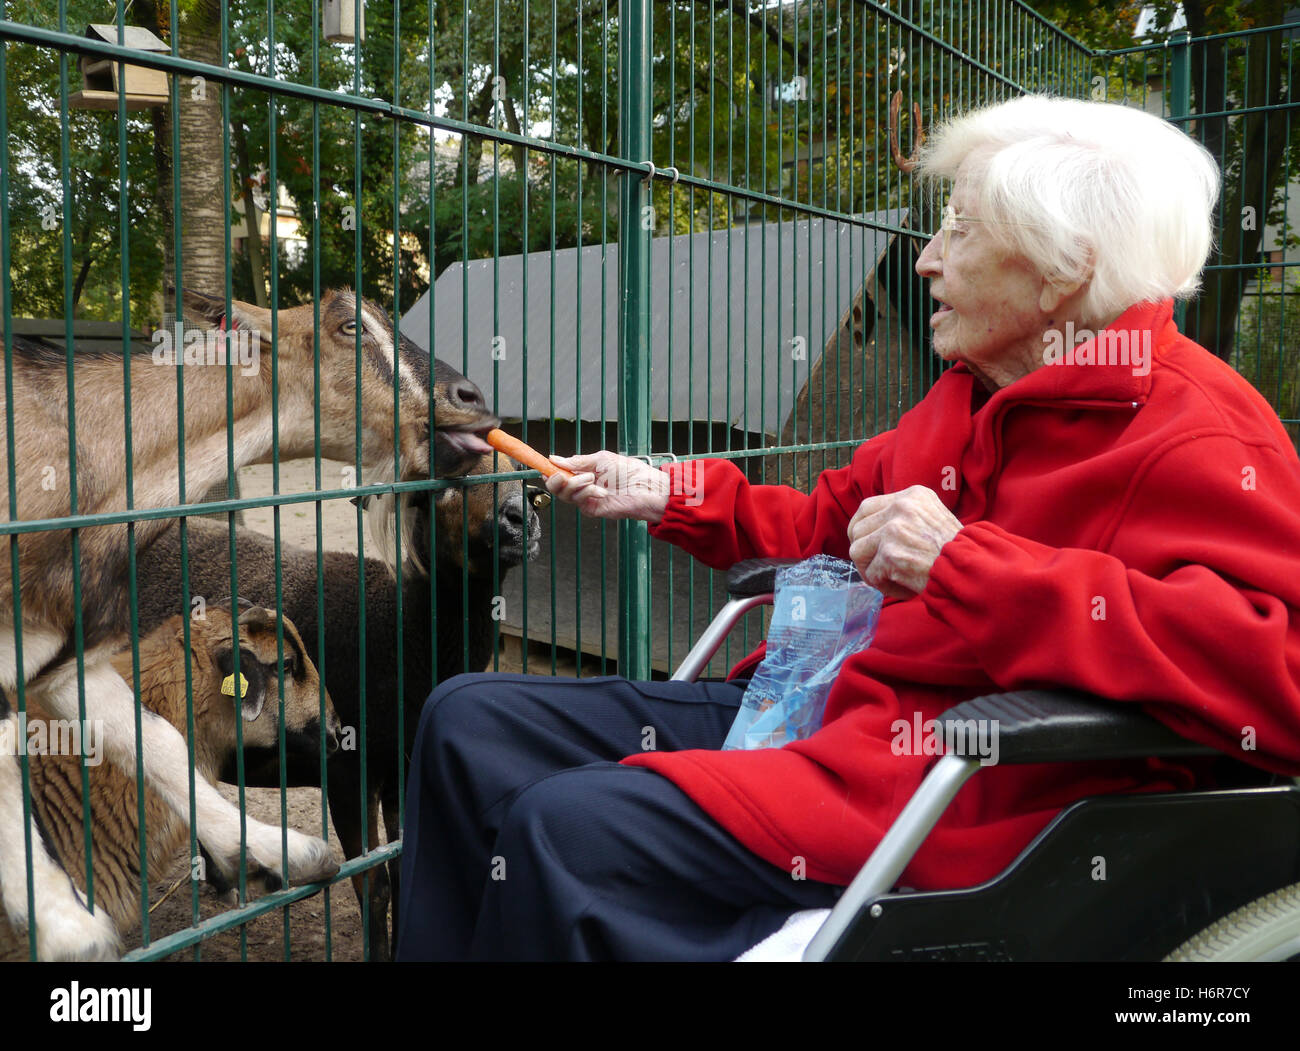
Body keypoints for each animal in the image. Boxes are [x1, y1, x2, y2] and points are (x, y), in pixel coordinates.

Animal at [135, 449, 541, 959]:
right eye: (445, 483)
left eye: (525, 480)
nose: (520, 520)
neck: (399, 629)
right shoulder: (348, 768)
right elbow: (373, 883)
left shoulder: (402, 766)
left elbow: (402, 867)